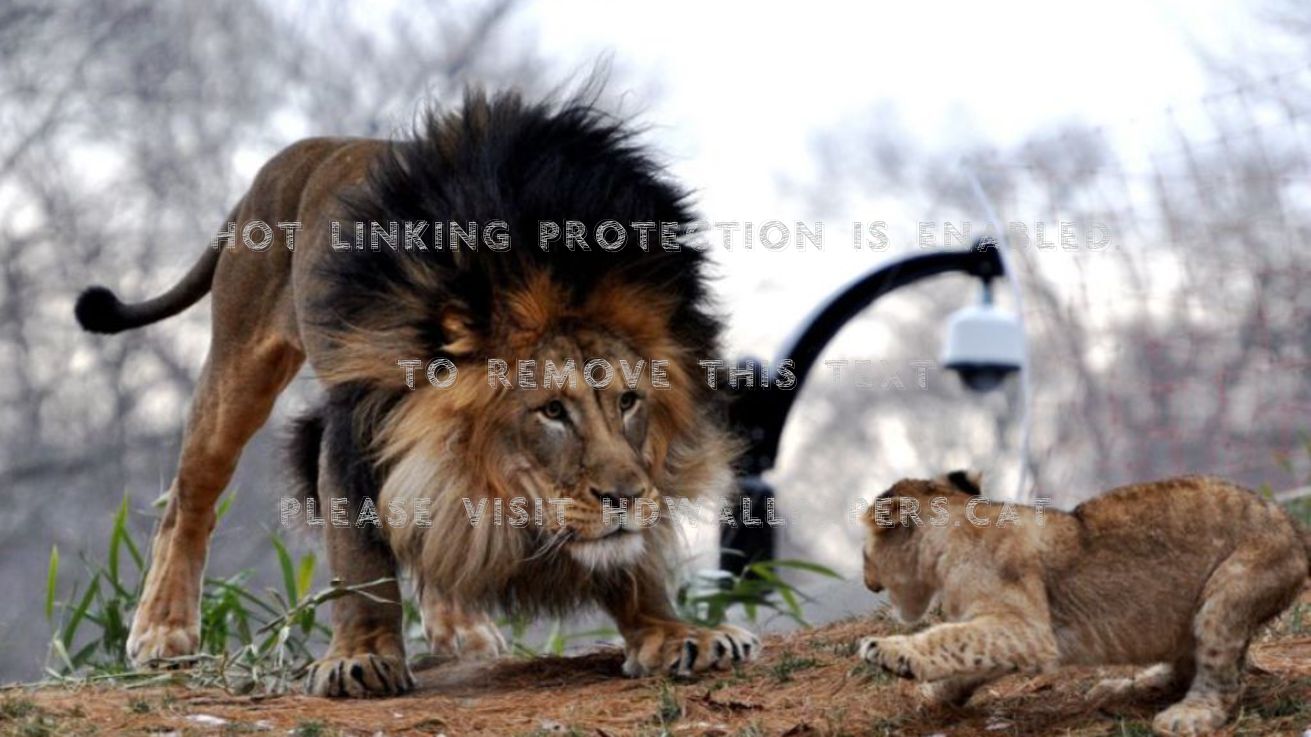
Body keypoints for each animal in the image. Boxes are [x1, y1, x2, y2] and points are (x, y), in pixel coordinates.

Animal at [74, 90, 759, 696]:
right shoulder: (356, 430)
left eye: (628, 401)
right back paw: (162, 630)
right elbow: (361, 564)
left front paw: (673, 633)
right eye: (551, 411)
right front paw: (360, 658)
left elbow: (626, 557)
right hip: (238, 364)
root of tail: (309, 150)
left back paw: (460, 626)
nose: (625, 497)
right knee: (189, 502)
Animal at [856, 473, 1309, 737]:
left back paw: (1189, 715)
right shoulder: (1003, 627)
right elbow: (968, 653)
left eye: (864, 553)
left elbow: (947, 638)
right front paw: (937, 692)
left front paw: (888, 651)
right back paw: (1127, 685)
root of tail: (1294, 528)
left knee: (1223, 681)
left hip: (1229, 593)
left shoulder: (1028, 630)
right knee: (1183, 668)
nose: (868, 585)